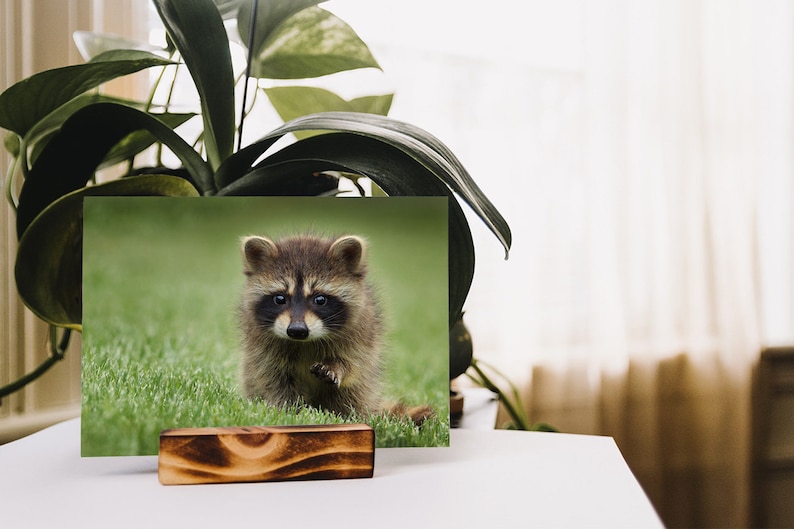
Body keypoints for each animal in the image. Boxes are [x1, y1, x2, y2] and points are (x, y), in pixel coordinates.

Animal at [238, 233, 385, 416]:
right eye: (280, 298)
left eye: (320, 299)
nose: (297, 330)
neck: (304, 342)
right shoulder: (262, 348)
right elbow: (274, 378)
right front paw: (290, 409)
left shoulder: (361, 333)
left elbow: (354, 363)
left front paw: (337, 366)